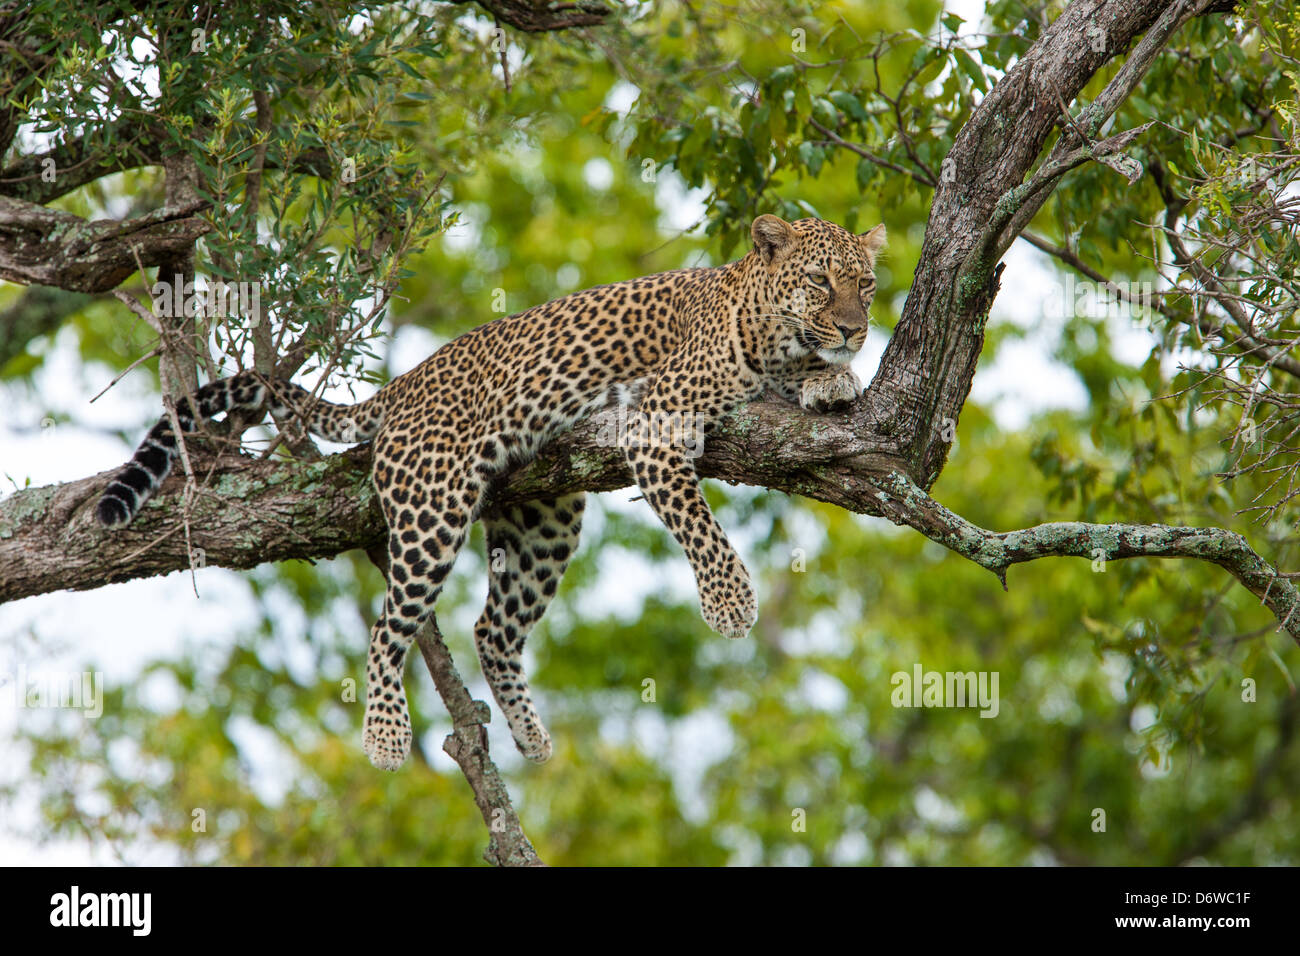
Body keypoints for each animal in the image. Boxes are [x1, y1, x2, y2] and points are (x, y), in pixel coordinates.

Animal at [95, 213, 887, 771]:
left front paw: (835, 378)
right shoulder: (658, 421)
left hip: (543, 523)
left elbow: (806, 381)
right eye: (821, 281)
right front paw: (729, 604)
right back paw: (386, 736)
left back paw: (531, 736)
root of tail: (405, 384)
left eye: (868, 285)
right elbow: (699, 523)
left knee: (491, 630)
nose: (856, 329)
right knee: (386, 629)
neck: (770, 331)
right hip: (432, 508)